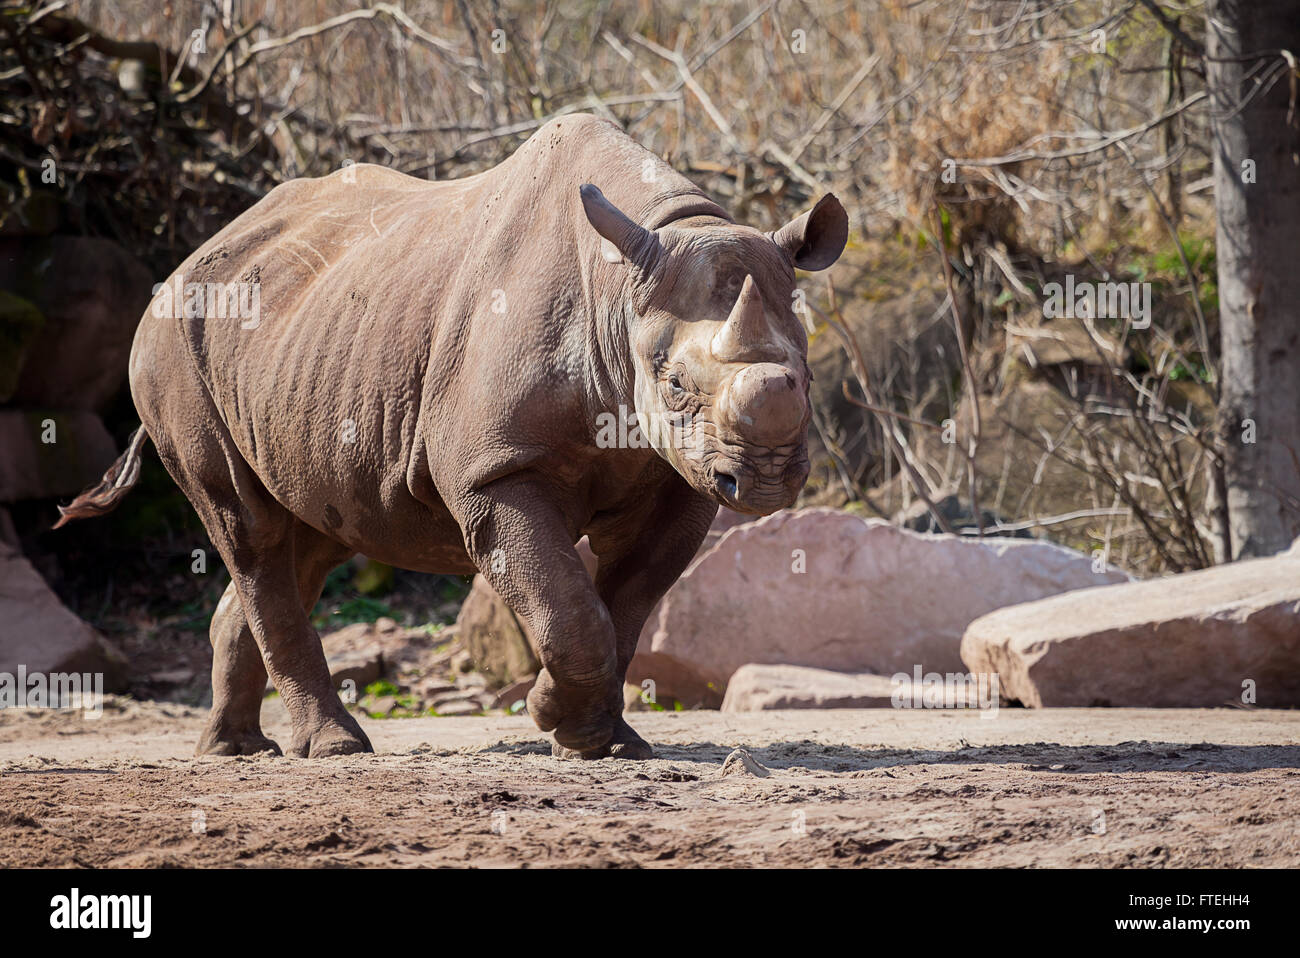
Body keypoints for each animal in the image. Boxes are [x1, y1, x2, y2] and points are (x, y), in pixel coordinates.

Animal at [57, 114, 847, 759]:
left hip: (305, 350)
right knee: (249, 530)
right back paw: (334, 750)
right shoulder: (493, 469)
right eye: (676, 385)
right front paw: (562, 725)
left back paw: (234, 751)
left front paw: (602, 741)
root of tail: (181, 267)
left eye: (807, 377)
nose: (768, 477)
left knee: (304, 534)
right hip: (172, 347)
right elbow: (571, 611)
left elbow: (625, 606)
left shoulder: (682, 481)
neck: (620, 289)